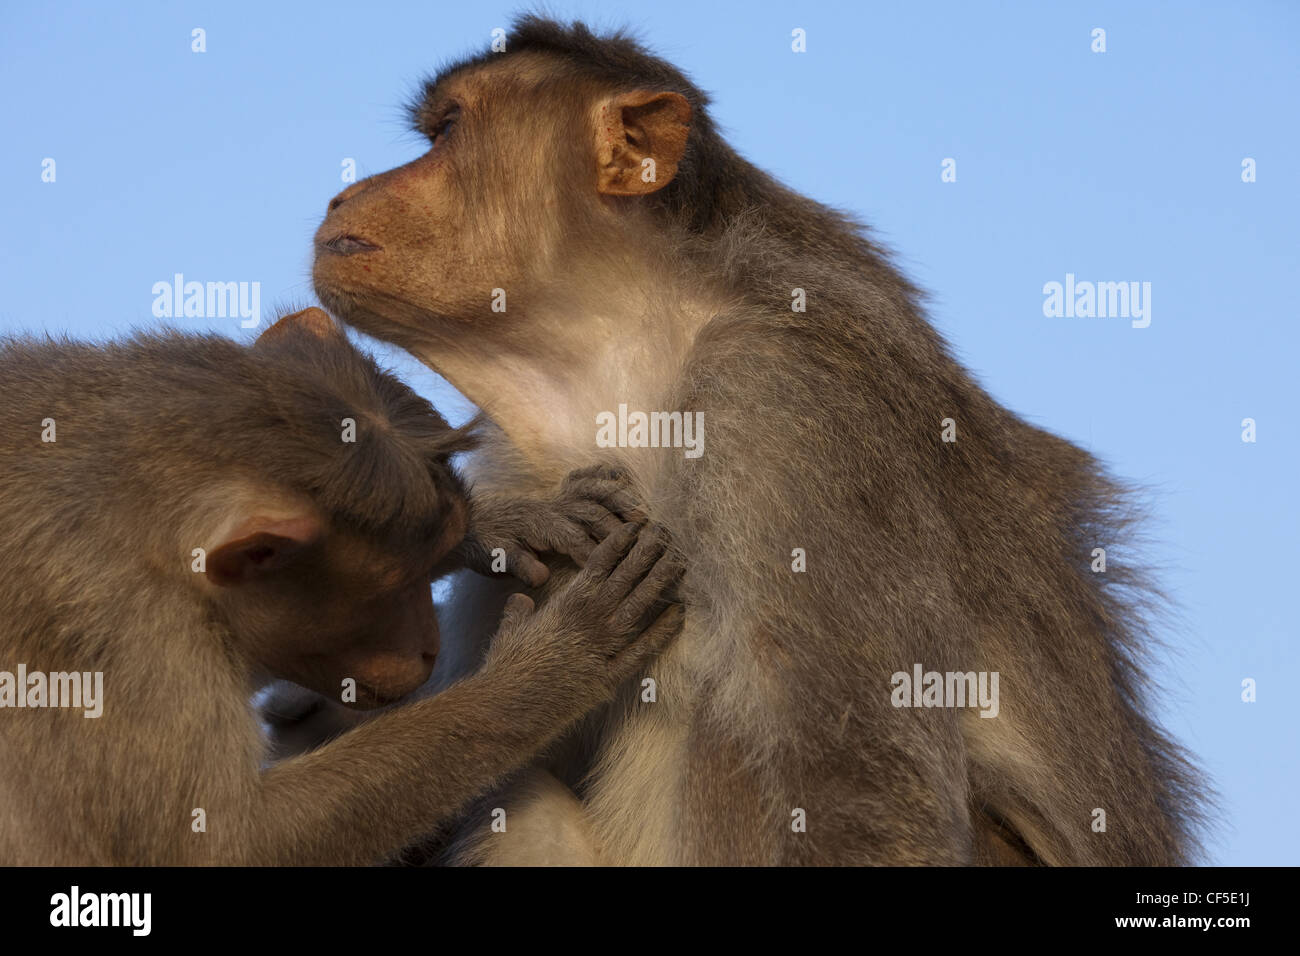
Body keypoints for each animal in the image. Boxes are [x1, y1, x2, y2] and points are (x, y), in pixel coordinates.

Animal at [0, 306, 682, 866]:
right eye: (390, 589)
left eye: (422, 571)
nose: (429, 649)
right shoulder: (129, 640)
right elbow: (220, 843)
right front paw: (553, 667)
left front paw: (505, 523)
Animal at [309, 18, 1204, 865]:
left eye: (447, 131)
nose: (341, 198)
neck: (629, 351)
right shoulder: (534, 469)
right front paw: (500, 541)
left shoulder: (780, 400)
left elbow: (860, 780)